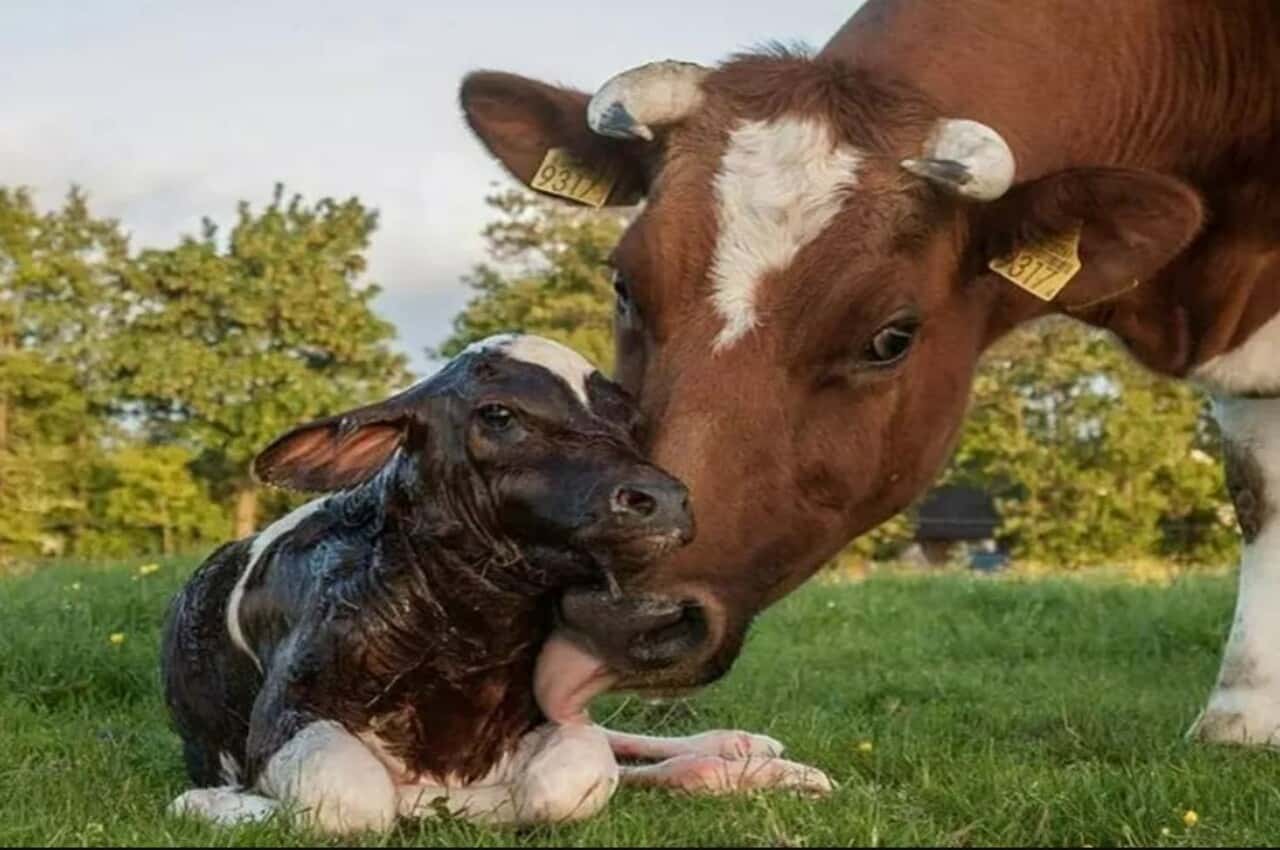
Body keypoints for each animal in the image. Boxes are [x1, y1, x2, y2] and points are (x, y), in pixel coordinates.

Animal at [162, 334, 828, 835]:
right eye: (498, 413)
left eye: (629, 420)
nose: (662, 498)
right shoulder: (287, 713)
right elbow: (352, 799)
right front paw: (216, 802)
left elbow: (575, 776)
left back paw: (748, 754)